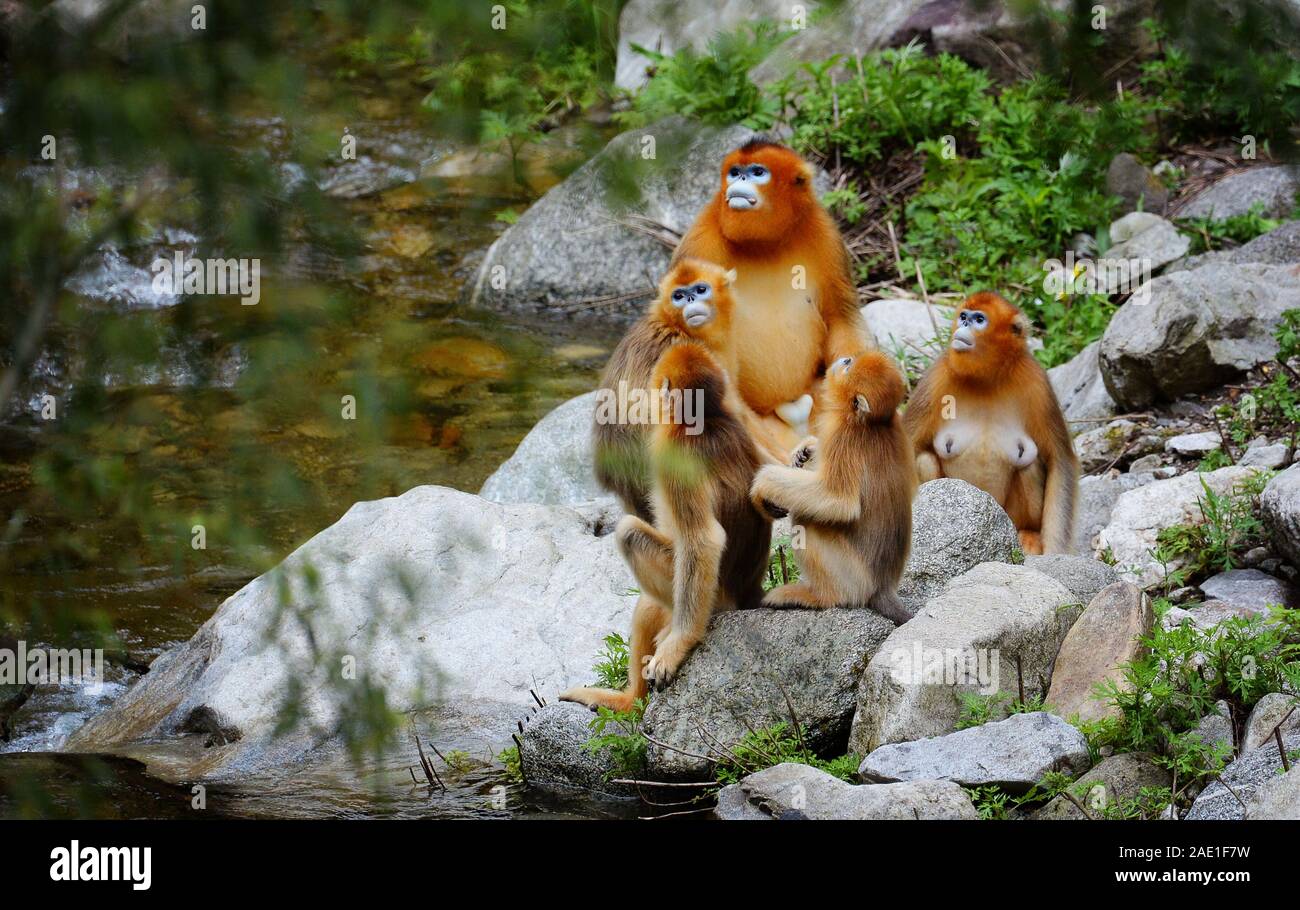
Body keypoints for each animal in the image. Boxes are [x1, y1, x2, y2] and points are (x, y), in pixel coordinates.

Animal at [562, 326, 773, 711]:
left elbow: (702, 540)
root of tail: (746, 597)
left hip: (713, 599)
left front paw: (679, 643)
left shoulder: (671, 451)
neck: (709, 422)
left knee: (630, 533)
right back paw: (630, 700)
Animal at [594, 139, 870, 519]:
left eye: (757, 172)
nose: (739, 182)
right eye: (735, 172)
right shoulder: (701, 237)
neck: (765, 243)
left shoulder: (823, 230)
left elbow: (841, 315)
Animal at [749, 350, 916, 625]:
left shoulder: (841, 436)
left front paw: (763, 484)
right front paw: (806, 448)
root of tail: (883, 587)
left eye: (848, 367)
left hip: (853, 578)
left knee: (806, 519)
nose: (844, 359)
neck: (871, 424)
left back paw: (821, 597)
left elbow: (840, 502)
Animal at [903, 292, 1078, 556]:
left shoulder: (1037, 382)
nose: (964, 324)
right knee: (924, 459)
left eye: (979, 319)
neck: (985, 379)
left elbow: (1061, 460)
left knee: (1030, 466)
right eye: (963, 316)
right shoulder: (936, 378)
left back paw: (1028, 534)